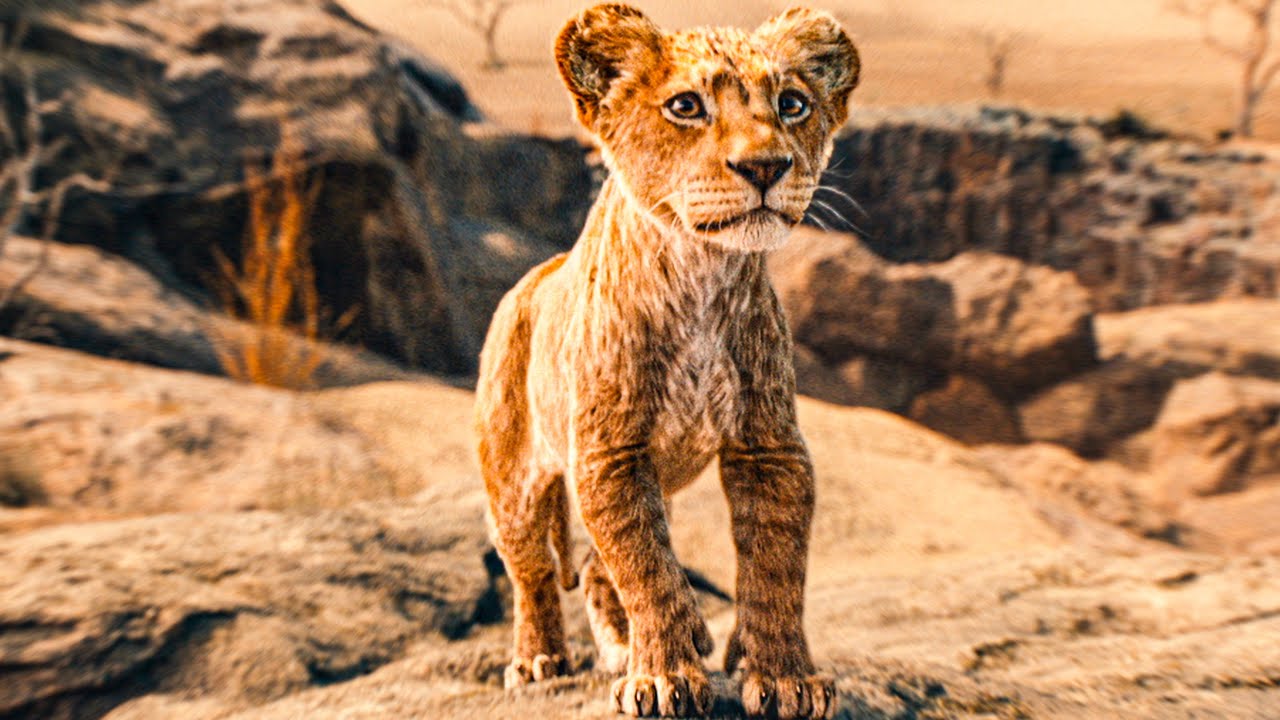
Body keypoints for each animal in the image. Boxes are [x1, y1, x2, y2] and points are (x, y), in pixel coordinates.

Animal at [474, 4, 859, 718]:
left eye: (792, 104)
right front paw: (664, 677)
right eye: (686, 106)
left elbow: (775, 565)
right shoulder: (611, 451)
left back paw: (621, 646)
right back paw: (539, 660)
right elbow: (647, 568)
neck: (701, 274)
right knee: (534, 570)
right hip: (514, 480)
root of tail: (530, 277)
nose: (766, 166)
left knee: (597, 565)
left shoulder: (769, 446)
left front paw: (783, 677)